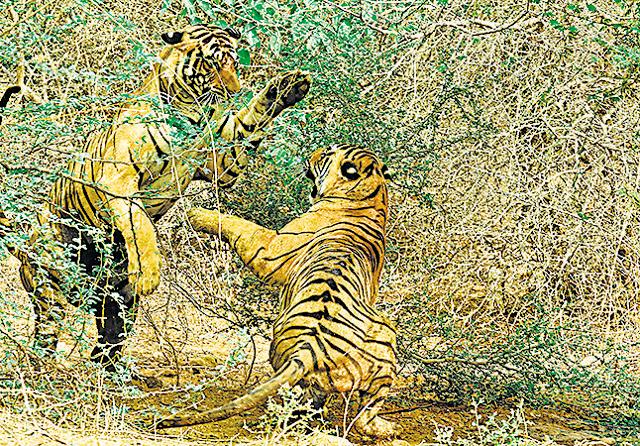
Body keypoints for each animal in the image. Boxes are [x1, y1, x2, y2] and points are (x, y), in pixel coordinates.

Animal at [0, 24, 311, 369]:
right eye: (213, 64)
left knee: (106, 343)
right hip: (50, 287)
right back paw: (47, 369)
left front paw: (288, 87)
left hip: (117, 305)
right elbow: (140, 225)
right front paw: (148, 273)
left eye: (234, 63)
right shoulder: (120, 179)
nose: (233, 90)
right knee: (44, 337)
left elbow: (250, 122)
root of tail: (24, 238)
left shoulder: (220, 164)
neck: (191, 114)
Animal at [157, 144, 397, 438]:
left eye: (326, 154)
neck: (372, 195)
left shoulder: (269, 249)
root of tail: (311, 348)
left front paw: (195, 213)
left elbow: (239, 224)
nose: (313, 152)